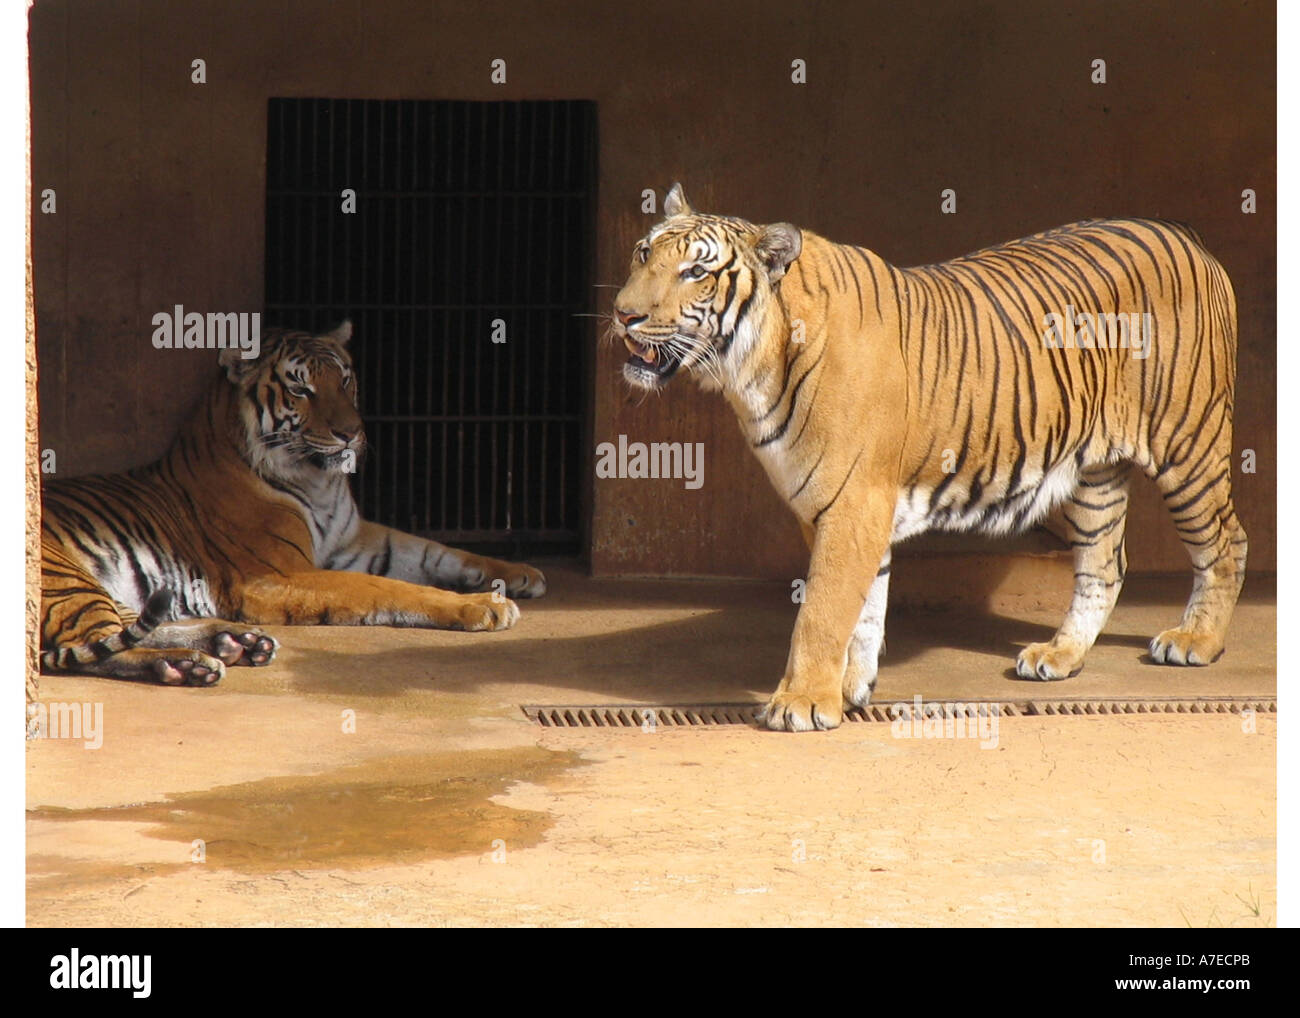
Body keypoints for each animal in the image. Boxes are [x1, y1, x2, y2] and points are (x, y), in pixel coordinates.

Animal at [40, 321, 546, 686]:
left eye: (346, 380)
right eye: (301, 389)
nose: (352, 433)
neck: (319, 480)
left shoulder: (356, 539)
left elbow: (436, 551)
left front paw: (518, 575)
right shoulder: (275, 575)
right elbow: (390, 588)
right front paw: (484, 606)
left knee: (131, 623)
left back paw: (235, 641)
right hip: (67, 577)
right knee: (92, 644)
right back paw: (189, 663)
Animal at [613, 183, 1246, 732]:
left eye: (696, 272)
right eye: (643, 254)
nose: (623, 314)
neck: (751, 371)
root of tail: (1183, 232)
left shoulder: (853, 503)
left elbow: (821, 610)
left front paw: (800, 702)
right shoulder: (831, 507)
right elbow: (863, 607)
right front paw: (849, 690)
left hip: (1188, 443)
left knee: (1225, 542)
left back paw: (1197, 642)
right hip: (1095, 472)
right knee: (1105, 562)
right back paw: (1060, 654)